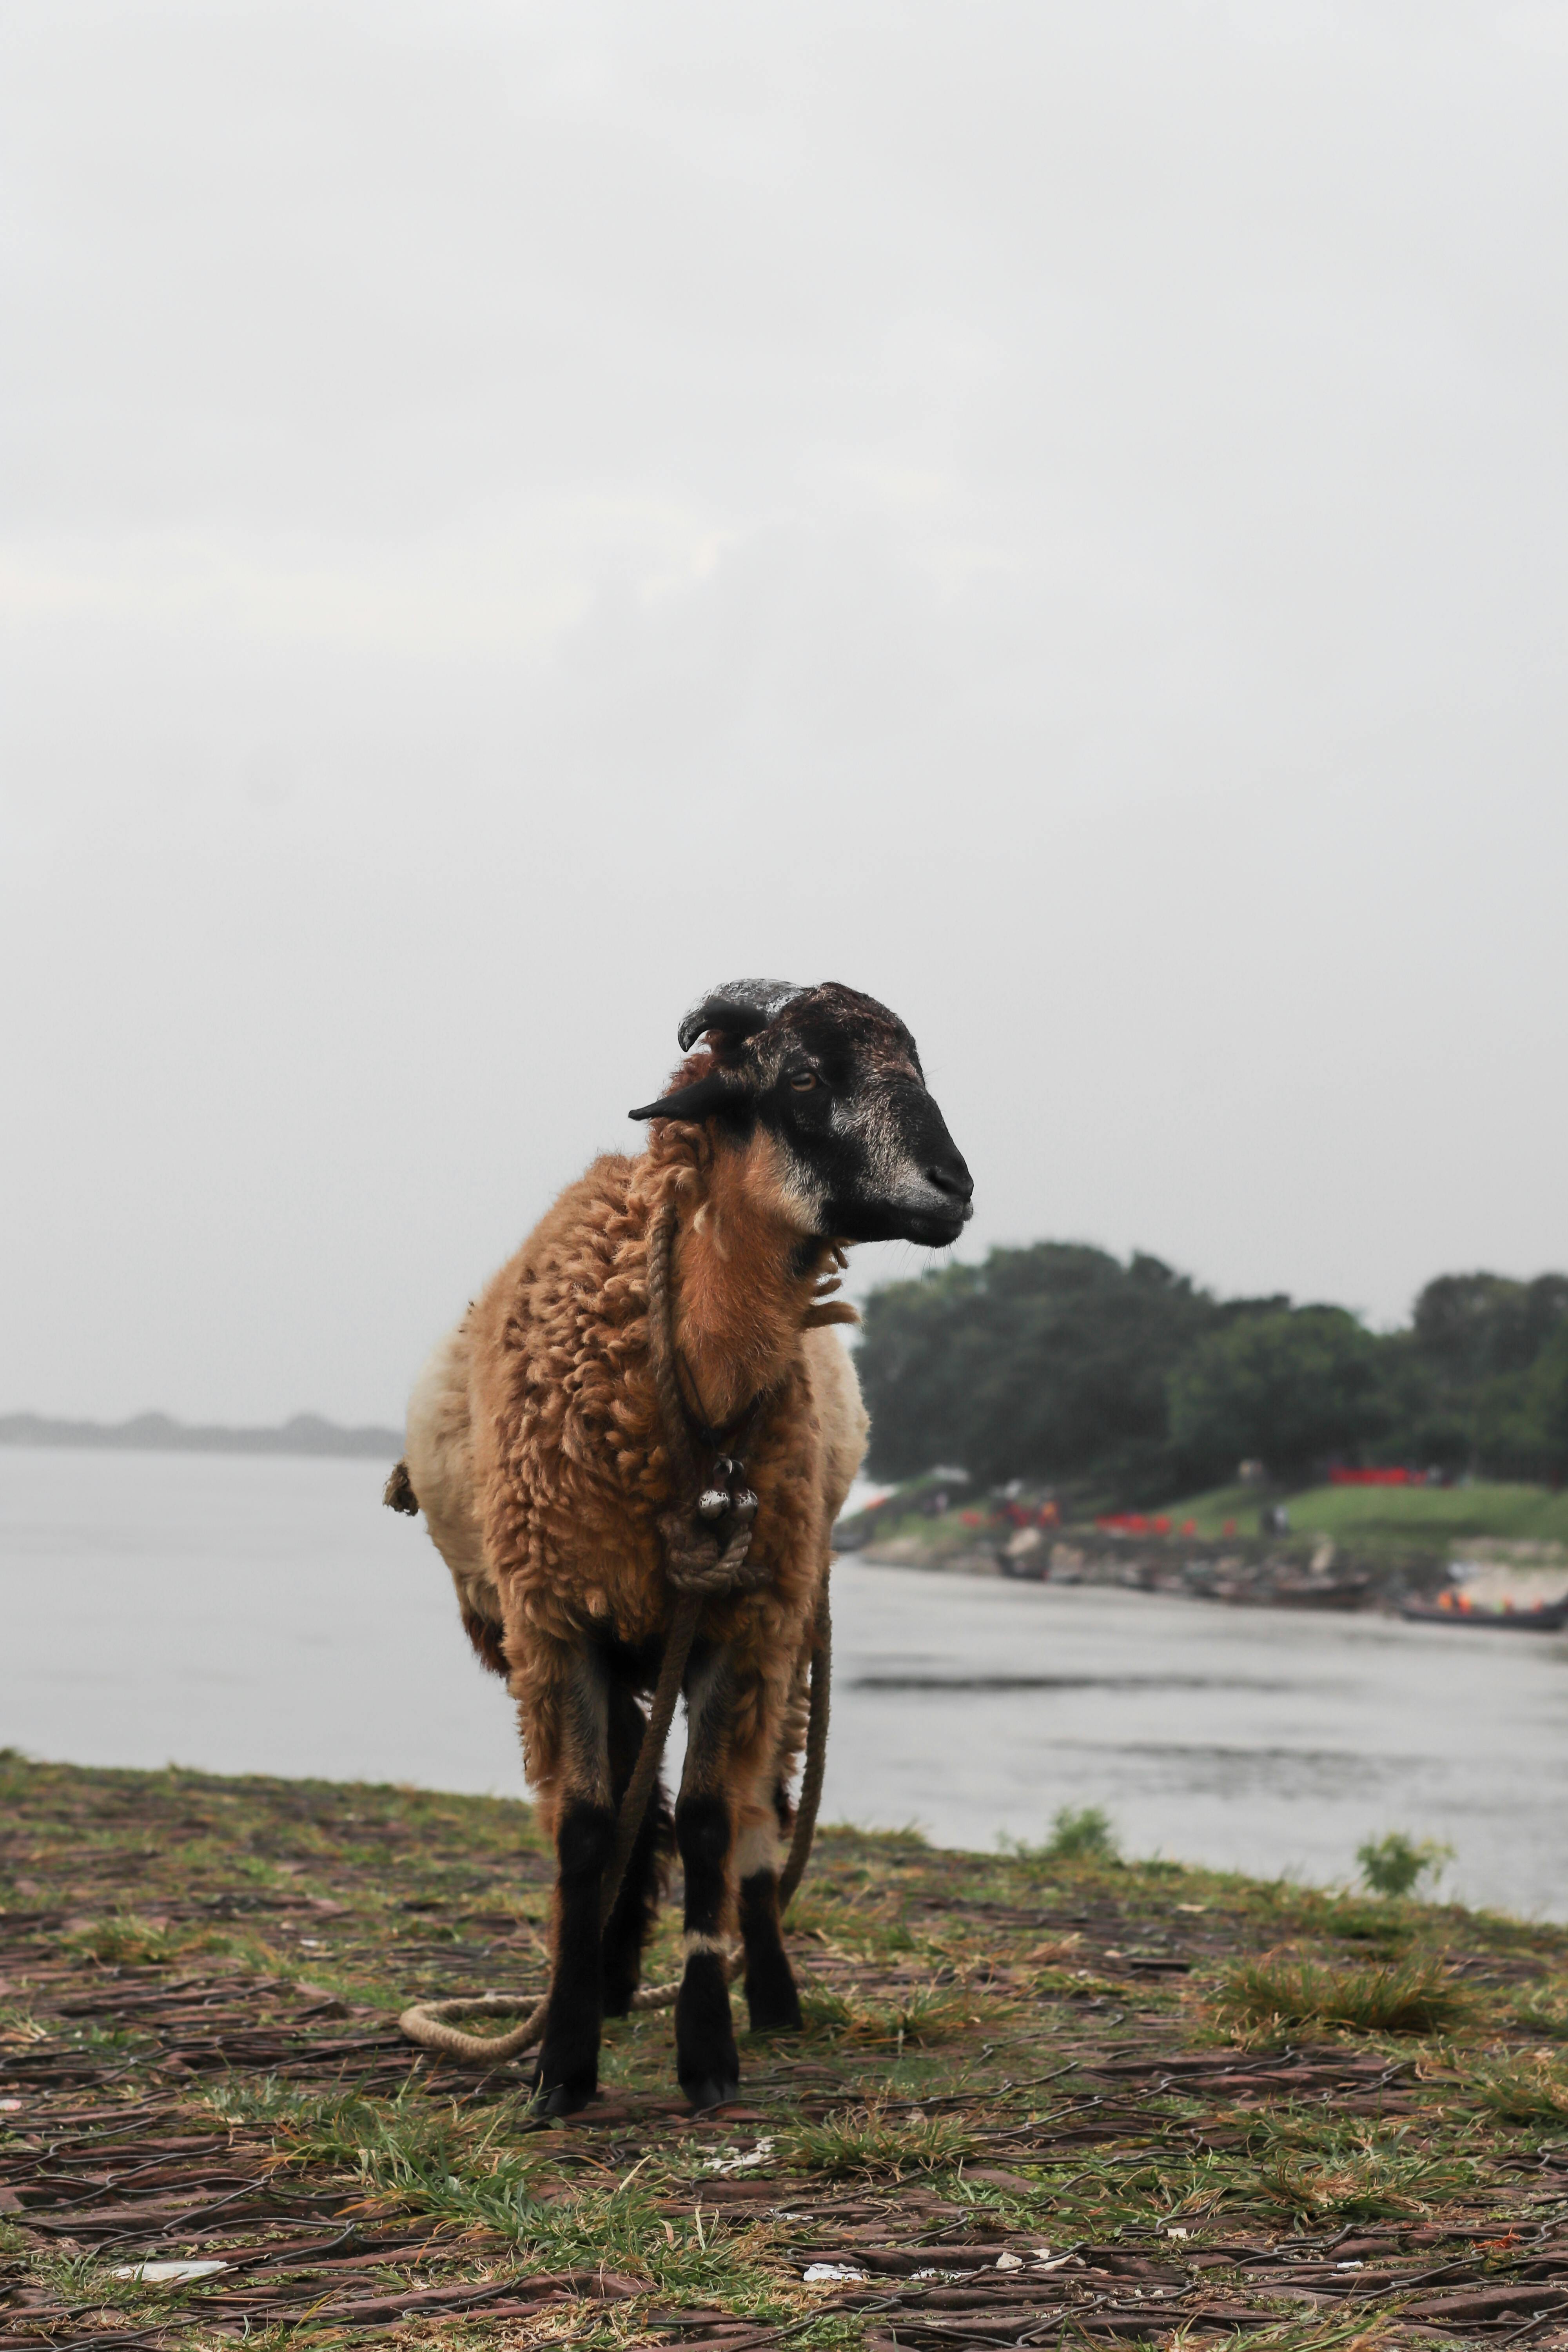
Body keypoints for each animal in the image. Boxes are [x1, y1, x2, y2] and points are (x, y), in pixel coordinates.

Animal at [389, 979, 973, 2114]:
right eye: (803, 1078)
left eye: (917, 1070)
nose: (955, 1188)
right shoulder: (554, 1618)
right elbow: (585, 1827)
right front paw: (563, 2065)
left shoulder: (740, 1624)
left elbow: (706, 1820)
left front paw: (707, 2054)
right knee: (621, 1793)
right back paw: (609, 1979)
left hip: (781, 1631)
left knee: (754, 1814)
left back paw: (771, 1994)